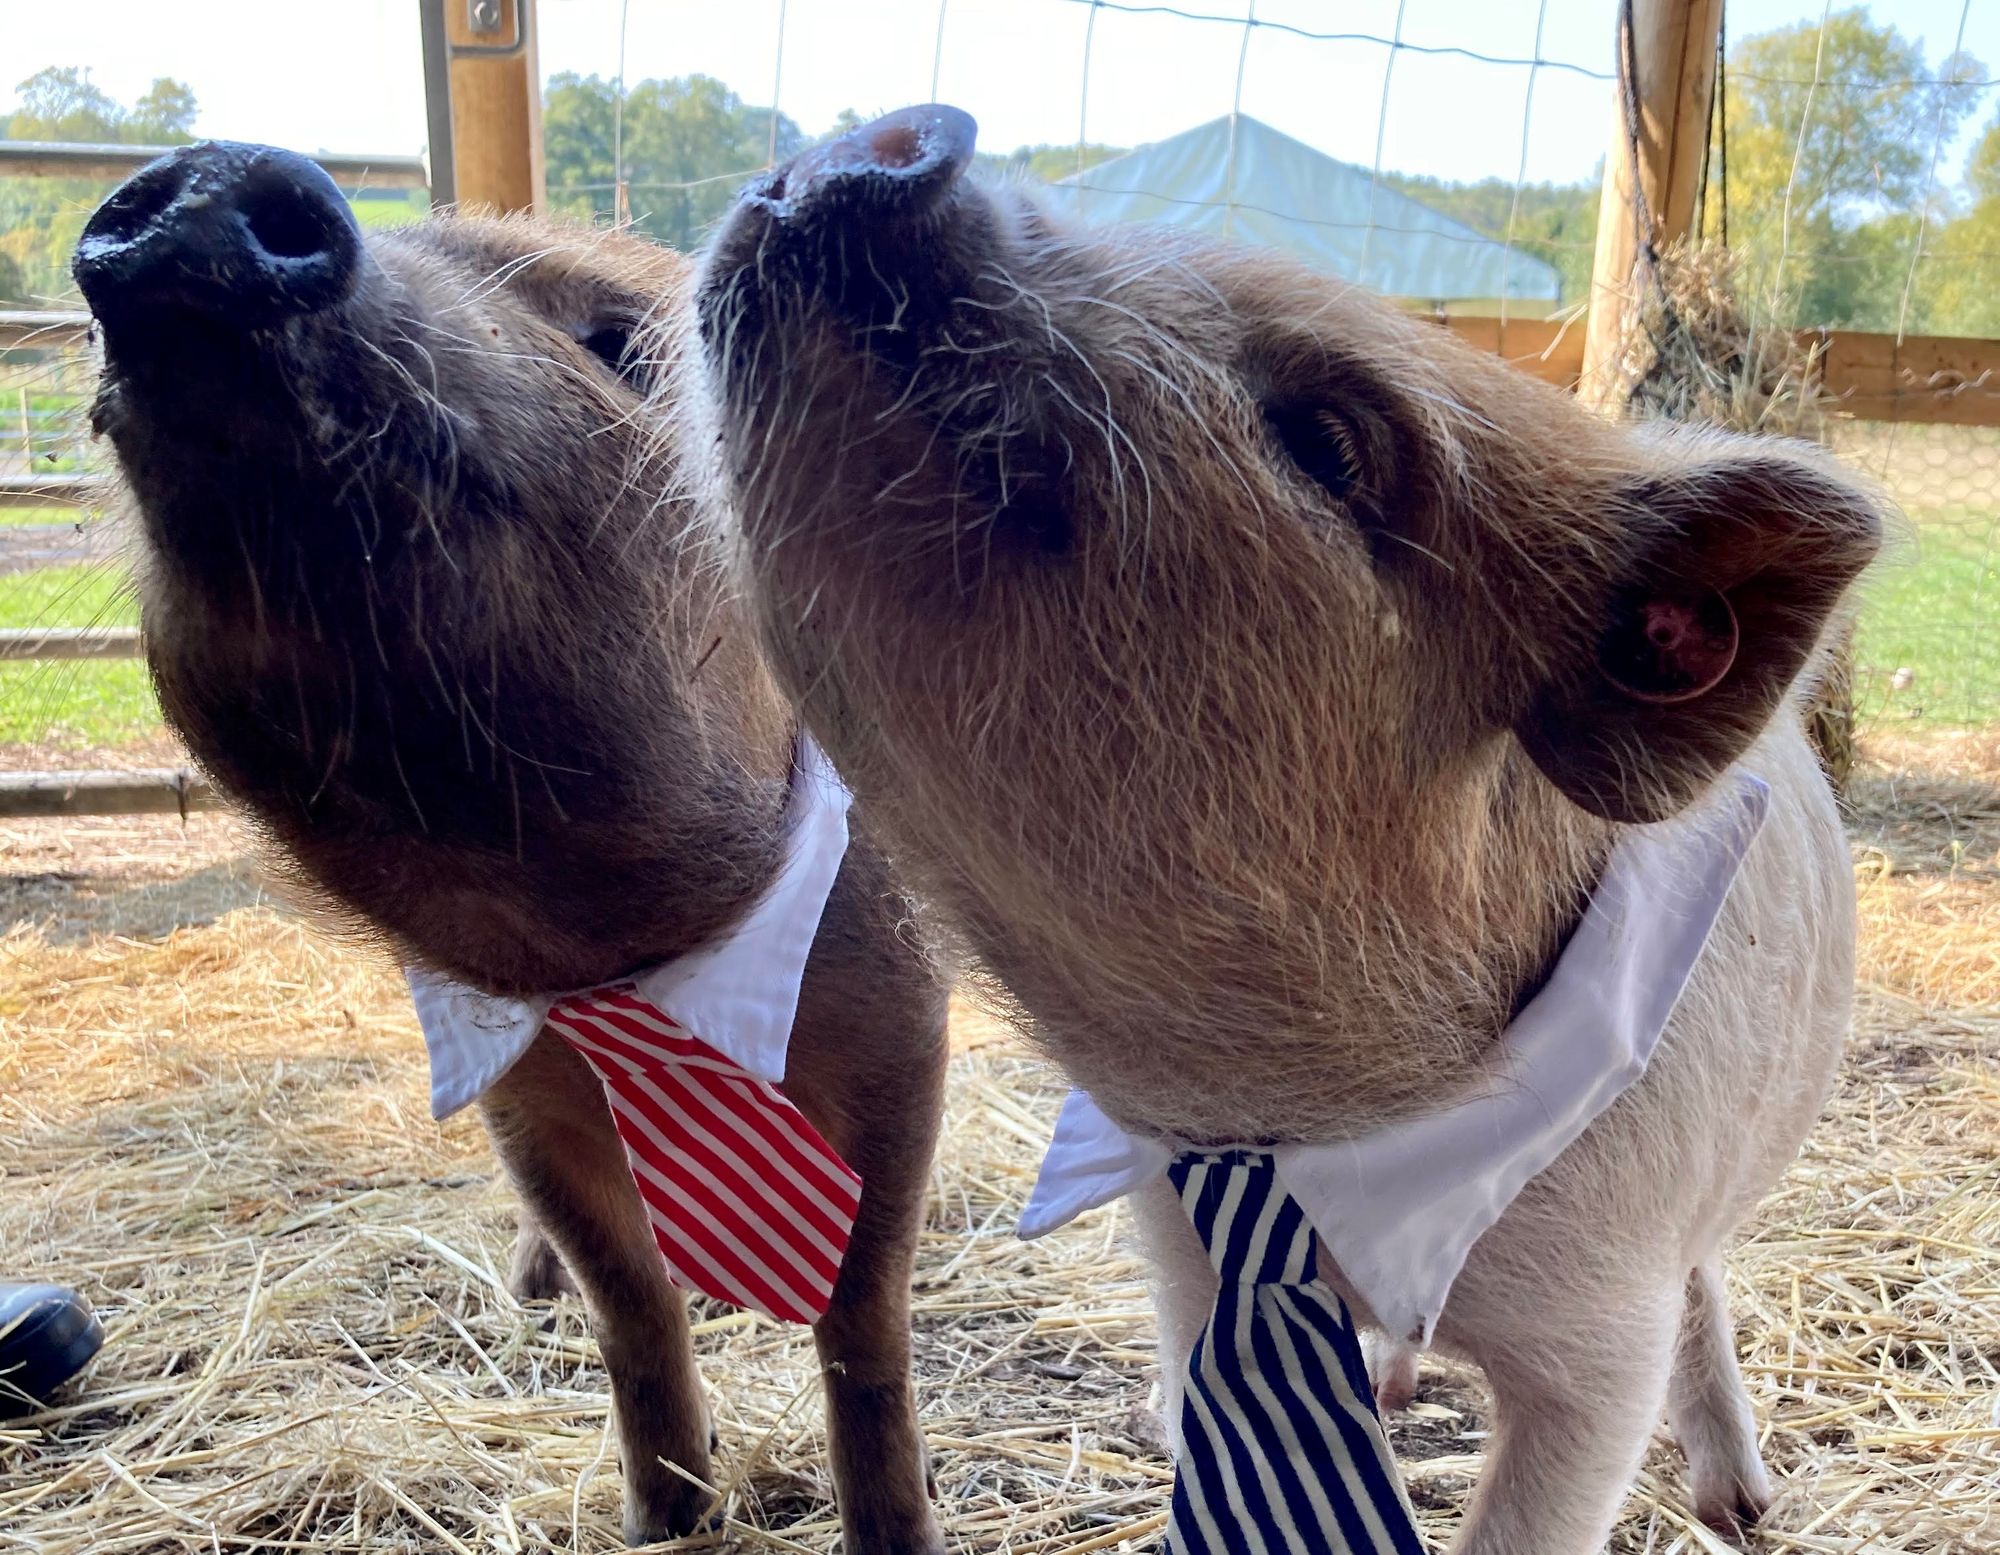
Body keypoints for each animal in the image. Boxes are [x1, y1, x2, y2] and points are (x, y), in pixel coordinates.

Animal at [71, 141, 947, 1554]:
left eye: (617, 343)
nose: (205, 182)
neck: (599, 959)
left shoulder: (900, 1026)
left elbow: (861, 1304)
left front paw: (890, 1532)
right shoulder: (515, 1087)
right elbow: (624, 1292)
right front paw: (665, 1516)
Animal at [676, 106, 1882, 1553]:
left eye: (1331, 444)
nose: (886, 133)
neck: (1296, 1125)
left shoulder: (1606, 1319)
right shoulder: (1182, 1253)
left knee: (1708, 1284)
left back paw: (1739, 1503)